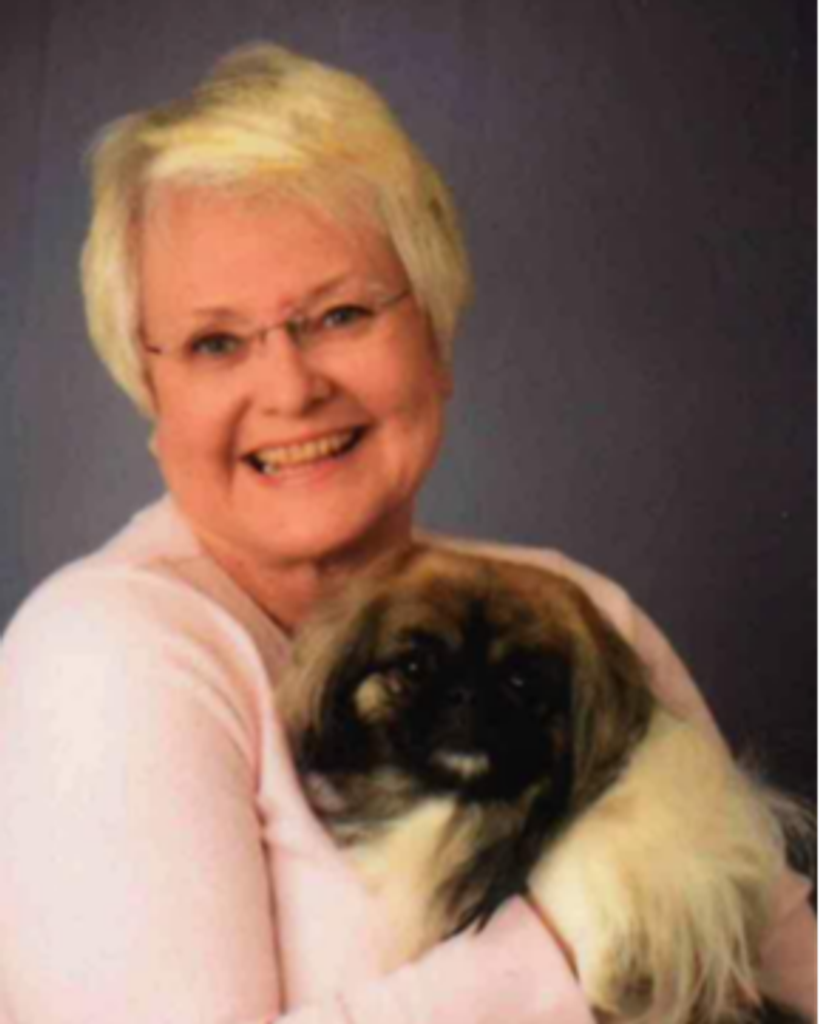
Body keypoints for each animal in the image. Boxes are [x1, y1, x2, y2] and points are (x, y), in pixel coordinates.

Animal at [278, 543, 813, 1023]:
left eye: (520, 681)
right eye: (413, 667)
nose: (466, 693)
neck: (470, 806)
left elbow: (581, 860)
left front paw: (609, 976)